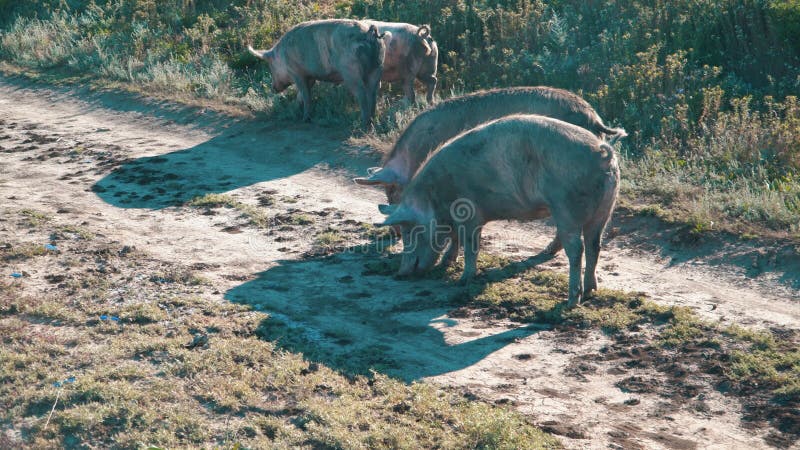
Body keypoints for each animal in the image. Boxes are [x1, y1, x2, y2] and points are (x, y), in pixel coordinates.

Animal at [248, 19, 387, 129]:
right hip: (377, 66)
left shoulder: (296, 72)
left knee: (361, 93)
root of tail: (369, 34)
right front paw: (296, 108)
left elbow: (305, 94)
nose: (273, 88)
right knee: (373, 92)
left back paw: (363, 124)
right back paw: (372, 121)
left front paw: (305, 119)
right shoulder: (310, 76)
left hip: (350, 71)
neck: (282, 56)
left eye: (271, 66)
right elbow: (304, 93)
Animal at [378, 114, 621, 308]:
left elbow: (470, 246)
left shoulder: (470, 214)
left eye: (411, 230)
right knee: (594, 246)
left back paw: (571, 301)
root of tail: (603, 155)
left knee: (577, 249)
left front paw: (463, 280)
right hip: (605, 209)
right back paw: (590, 291)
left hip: (566, 208)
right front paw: (447, 263)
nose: (400, 274)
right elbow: (455, 239)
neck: (436, 196)